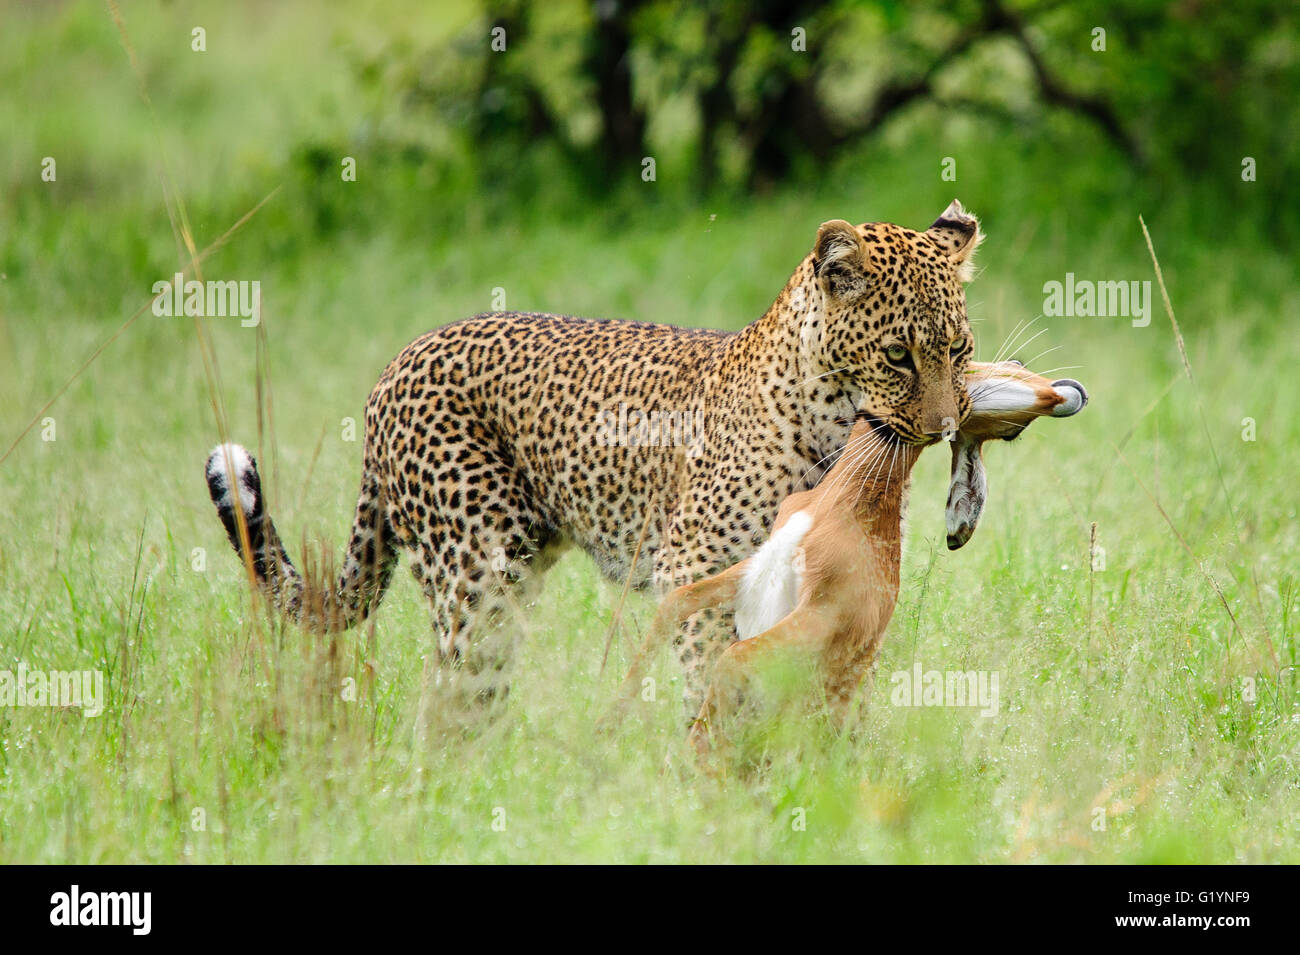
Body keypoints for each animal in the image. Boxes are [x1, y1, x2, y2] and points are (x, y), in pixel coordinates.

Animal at [204, 199, 984, 716]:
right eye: (898, 355)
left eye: (959, 349)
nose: (945, 427)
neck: (830, 423)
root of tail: (397, 362)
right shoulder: (694, 565)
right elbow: (713, 674)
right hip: (478, 578)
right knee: (451, 702)